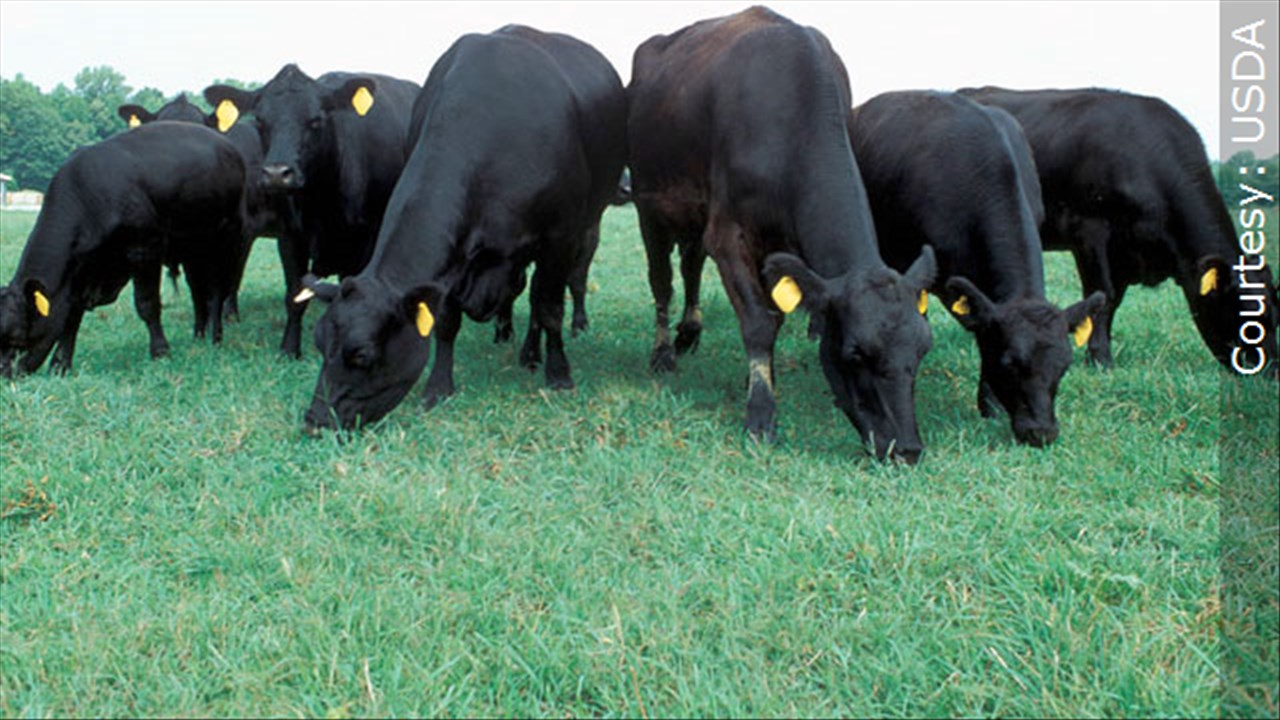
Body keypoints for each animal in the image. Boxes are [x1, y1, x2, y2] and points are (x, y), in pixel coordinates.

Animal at [0, 122, 246, 377]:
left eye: (17, 338)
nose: (5, 373)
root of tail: (226, 145)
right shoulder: (82, 270)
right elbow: (71, 315)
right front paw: (60, 365)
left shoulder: (145, 249)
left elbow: (147, 304)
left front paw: (160, 352)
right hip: (192, 248)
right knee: (197, 290)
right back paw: (198, 336)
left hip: (225, 238)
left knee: (217, 290)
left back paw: (215, 337)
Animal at [203, 65, 420, 358]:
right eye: (260, 120)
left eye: (316, 120)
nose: (276, 174)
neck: (321, 204)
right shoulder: (290, 237)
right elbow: (294, 295)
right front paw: (289, 349)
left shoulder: (366, 238)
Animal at [299, 25, 627, 431]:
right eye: (318, 343)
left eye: (362, 354)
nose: (315, 420)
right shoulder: (453, 261)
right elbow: (446, 322)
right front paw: (439, 387)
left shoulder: (560, 236)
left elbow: (549, 306)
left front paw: (560, 374)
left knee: (542, 294)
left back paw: (532, 354)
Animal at [628, 7, 936, 463]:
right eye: (855, 353)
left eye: (922, 347)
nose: (907, 449)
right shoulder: (728, 235)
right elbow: (760, 321)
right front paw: (760, 415)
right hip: (650, 206)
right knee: (662, 280)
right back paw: (663, 352)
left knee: (690, 267)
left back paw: (690, 331)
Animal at [960, 86, 1279, 377]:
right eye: (1251, 320)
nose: (1270, 372)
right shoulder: (1091, 230)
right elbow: (1104, 296)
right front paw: (1100, 359)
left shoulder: (1124, 254)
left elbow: (1114, 302)